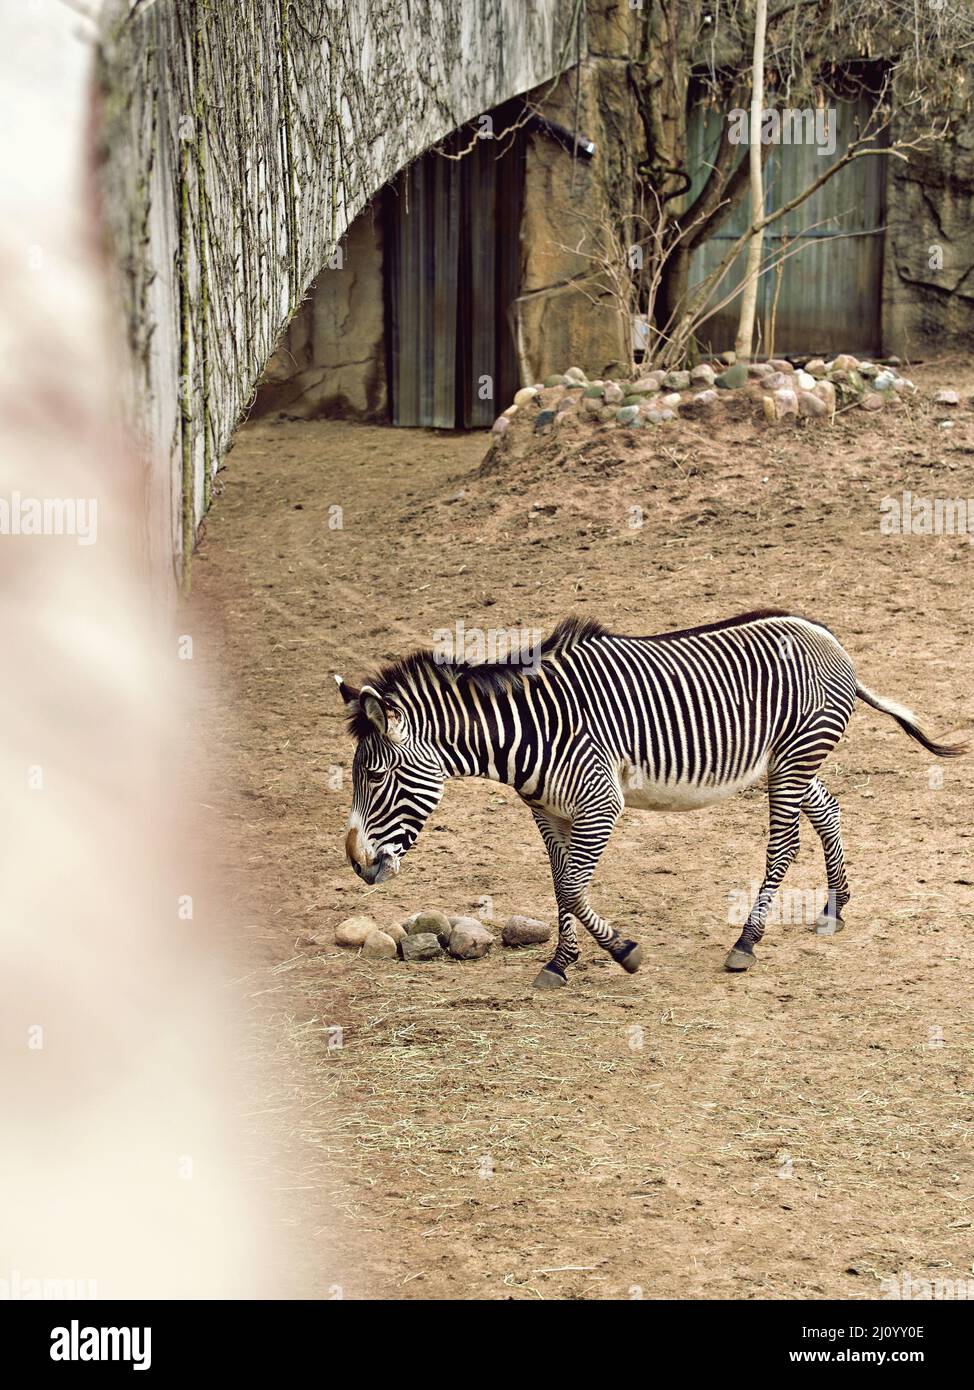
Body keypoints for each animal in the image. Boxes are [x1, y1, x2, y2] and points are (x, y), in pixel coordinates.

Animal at [337, 611, 966, 988]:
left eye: (379, 776)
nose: (361, 868)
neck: (527, 729)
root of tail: (824, 633)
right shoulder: (547, 811)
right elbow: (560, 883)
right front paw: (571, 961)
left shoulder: (599, 800)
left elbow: (573, 887)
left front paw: (614, 954)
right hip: (788, 762)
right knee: (826, 808)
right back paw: (835, 906)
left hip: (794, 757)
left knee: (783, 845)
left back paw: (746, 942)